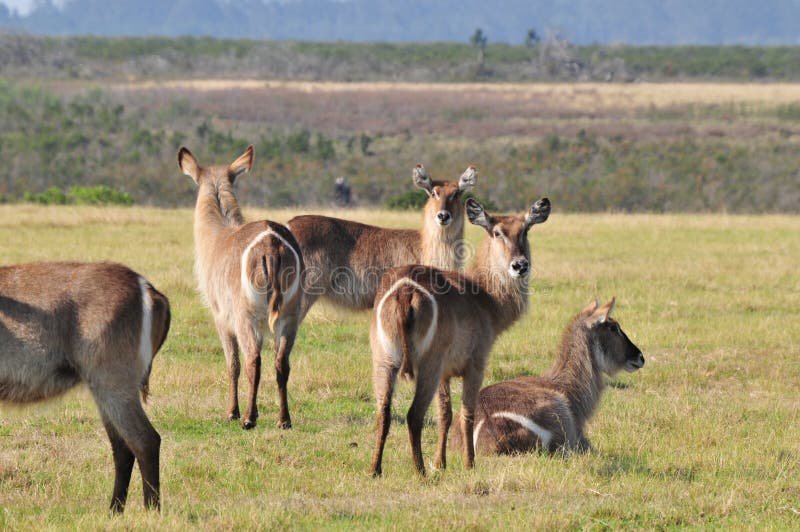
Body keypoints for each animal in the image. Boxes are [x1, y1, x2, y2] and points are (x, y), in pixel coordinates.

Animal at [0, 261, 170, 513]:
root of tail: (146, 286)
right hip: (104, 389)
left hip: (114, 383)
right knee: (122, 447)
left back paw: (151, 512)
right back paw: (114, 512)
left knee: (146, 441)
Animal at [178, 145, 304, 430]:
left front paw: (232, 412)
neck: (217, 236)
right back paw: (283, 420)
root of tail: (271, 243)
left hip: (246, 316)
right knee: (282, 363)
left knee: (252, 360)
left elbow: (232, 364)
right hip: (289, 316)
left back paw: (247, 419)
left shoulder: (221, 318)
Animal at [369, 196, 551, 477]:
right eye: (497, 232)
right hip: (428, 364)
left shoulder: (445, 373)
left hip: (384, 360)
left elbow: (445, 414)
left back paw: (376, 470)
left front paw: (440, 463)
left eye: (525, 230)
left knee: (384, 412)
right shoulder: (475, 364)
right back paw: (420, 471)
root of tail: (405, 291)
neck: (485, 297)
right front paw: (468, 463)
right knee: (413, 415)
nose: (520, 265)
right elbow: (467, 413)